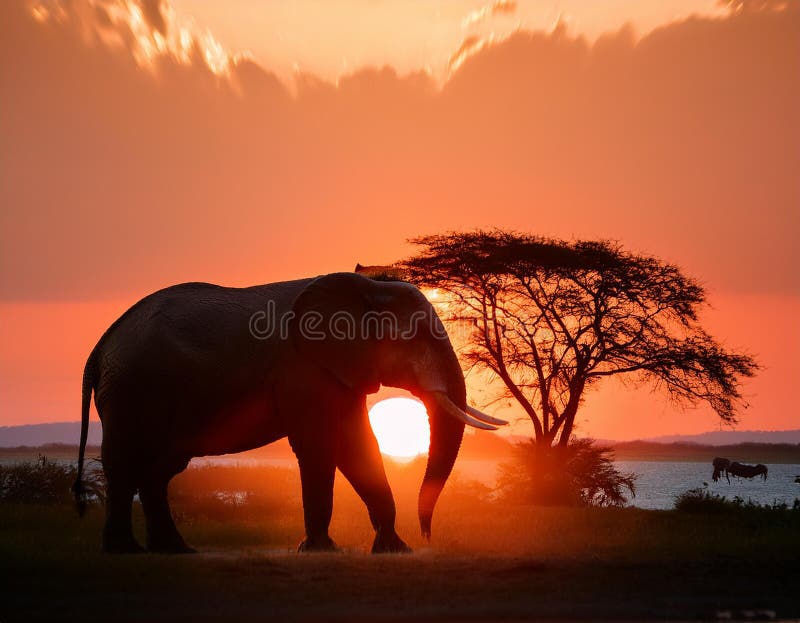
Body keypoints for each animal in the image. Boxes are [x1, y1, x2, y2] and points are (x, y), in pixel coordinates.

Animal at [73, 272, 506, 554]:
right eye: (419, 335)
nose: (428, 534)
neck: (367, 289)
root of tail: (98, 349)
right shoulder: (303, 367)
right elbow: (319, 445)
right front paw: (320, 550)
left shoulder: (340, 367)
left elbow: (358, 444)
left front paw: (395, 551)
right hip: (132, 388)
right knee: (126, 461)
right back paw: (124, 551)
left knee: (160, 469)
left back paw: (175, 551)